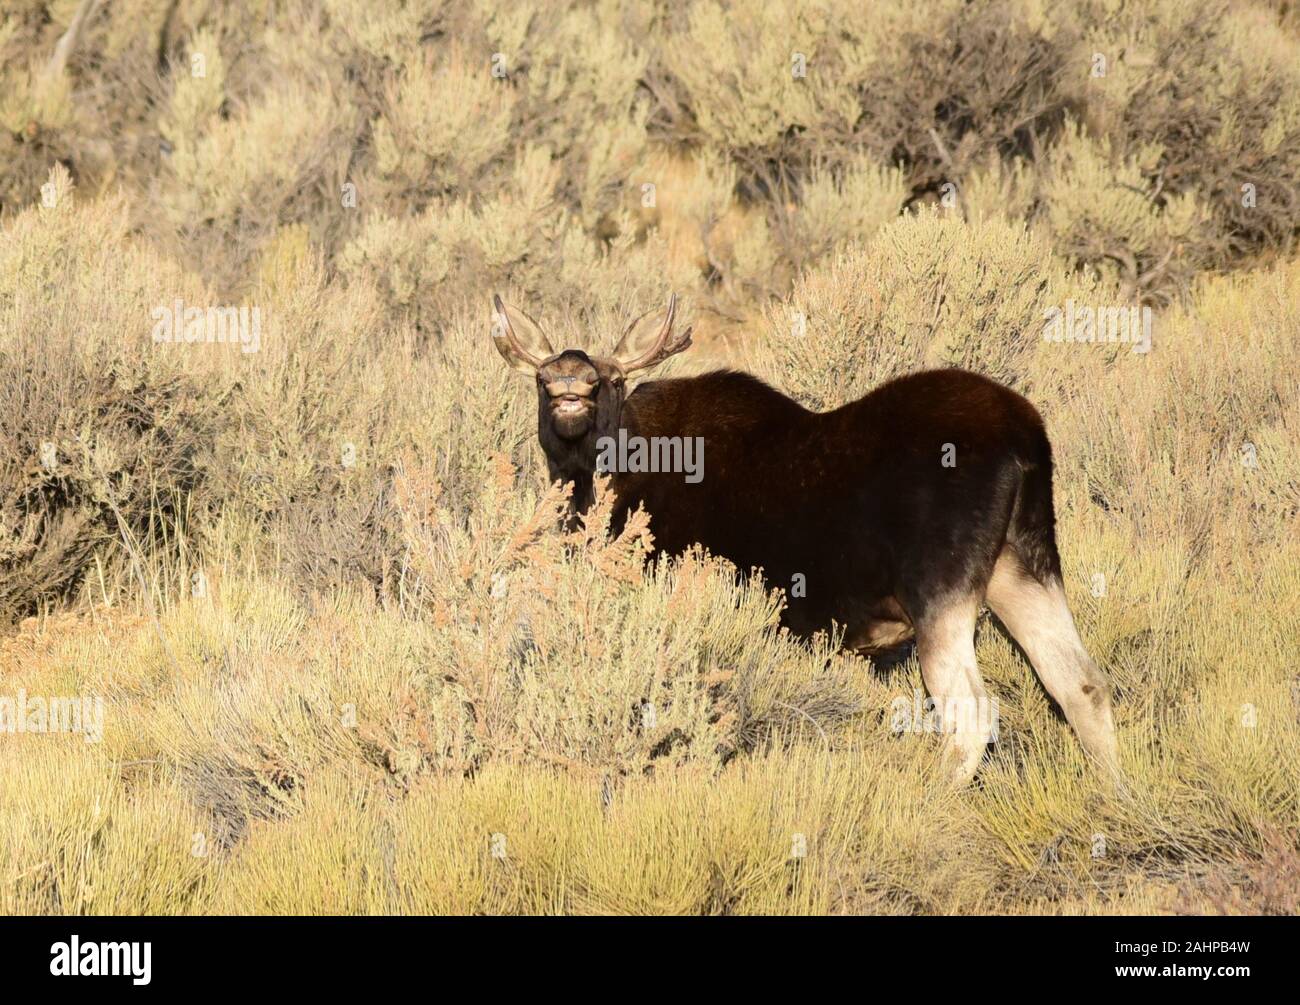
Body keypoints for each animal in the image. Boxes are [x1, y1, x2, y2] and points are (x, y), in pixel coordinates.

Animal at [491, 293, 1119, 784]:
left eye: (612, 381)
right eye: (541, 380)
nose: (570, 383)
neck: (604, 483)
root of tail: (1026, 439)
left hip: (939, 590)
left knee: (971, 713)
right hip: (1025, 563)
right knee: (1082, 682)